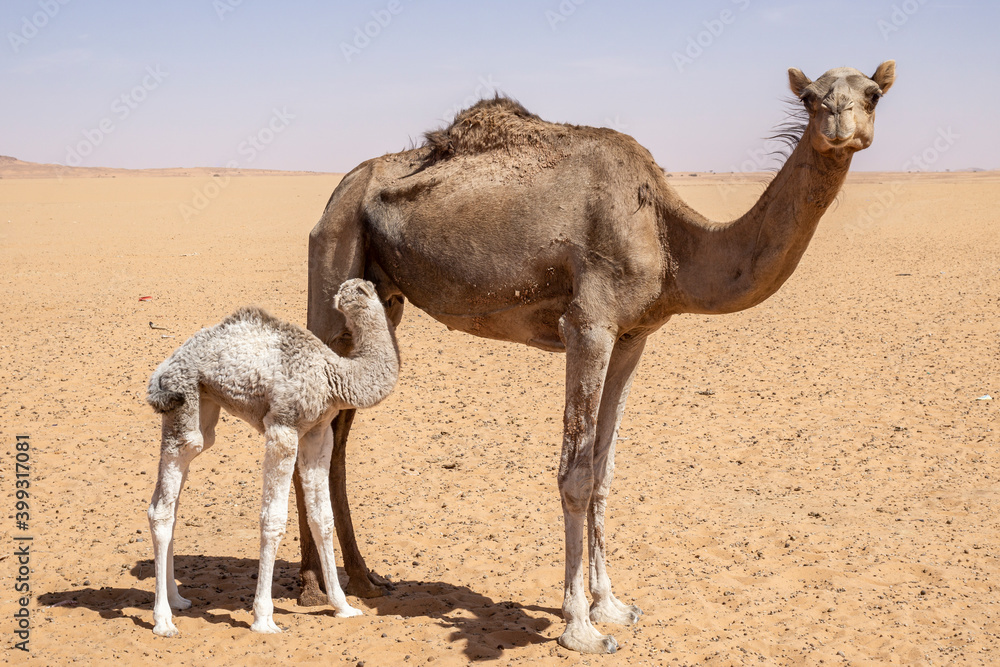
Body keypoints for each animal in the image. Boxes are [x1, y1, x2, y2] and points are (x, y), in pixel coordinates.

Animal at [145, 279, 399, 636]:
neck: (334, 374)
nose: (350, 288)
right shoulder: (283, 428)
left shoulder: (318, 432)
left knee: (177, 489)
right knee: (162, 507)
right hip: (182, 399)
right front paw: (264, 619)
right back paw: (163, 620)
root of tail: (164, 367)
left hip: (204, 407)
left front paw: (343, 606)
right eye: (366, 290)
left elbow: (322, 519)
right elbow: (273, 519)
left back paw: (177, 599)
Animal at [295, 62, 896, 653]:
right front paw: (579, 625)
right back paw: (312, 588)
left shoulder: (633, 335)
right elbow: (576, 475)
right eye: (811, 98)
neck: (669, 237)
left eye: (872, 94)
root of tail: (340, 189)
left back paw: (363, 577)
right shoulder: (589, 325)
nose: (840, 122)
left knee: (337, 432)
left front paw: (613, 605)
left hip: (382, 298)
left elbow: (606, 469)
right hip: (334, 252)